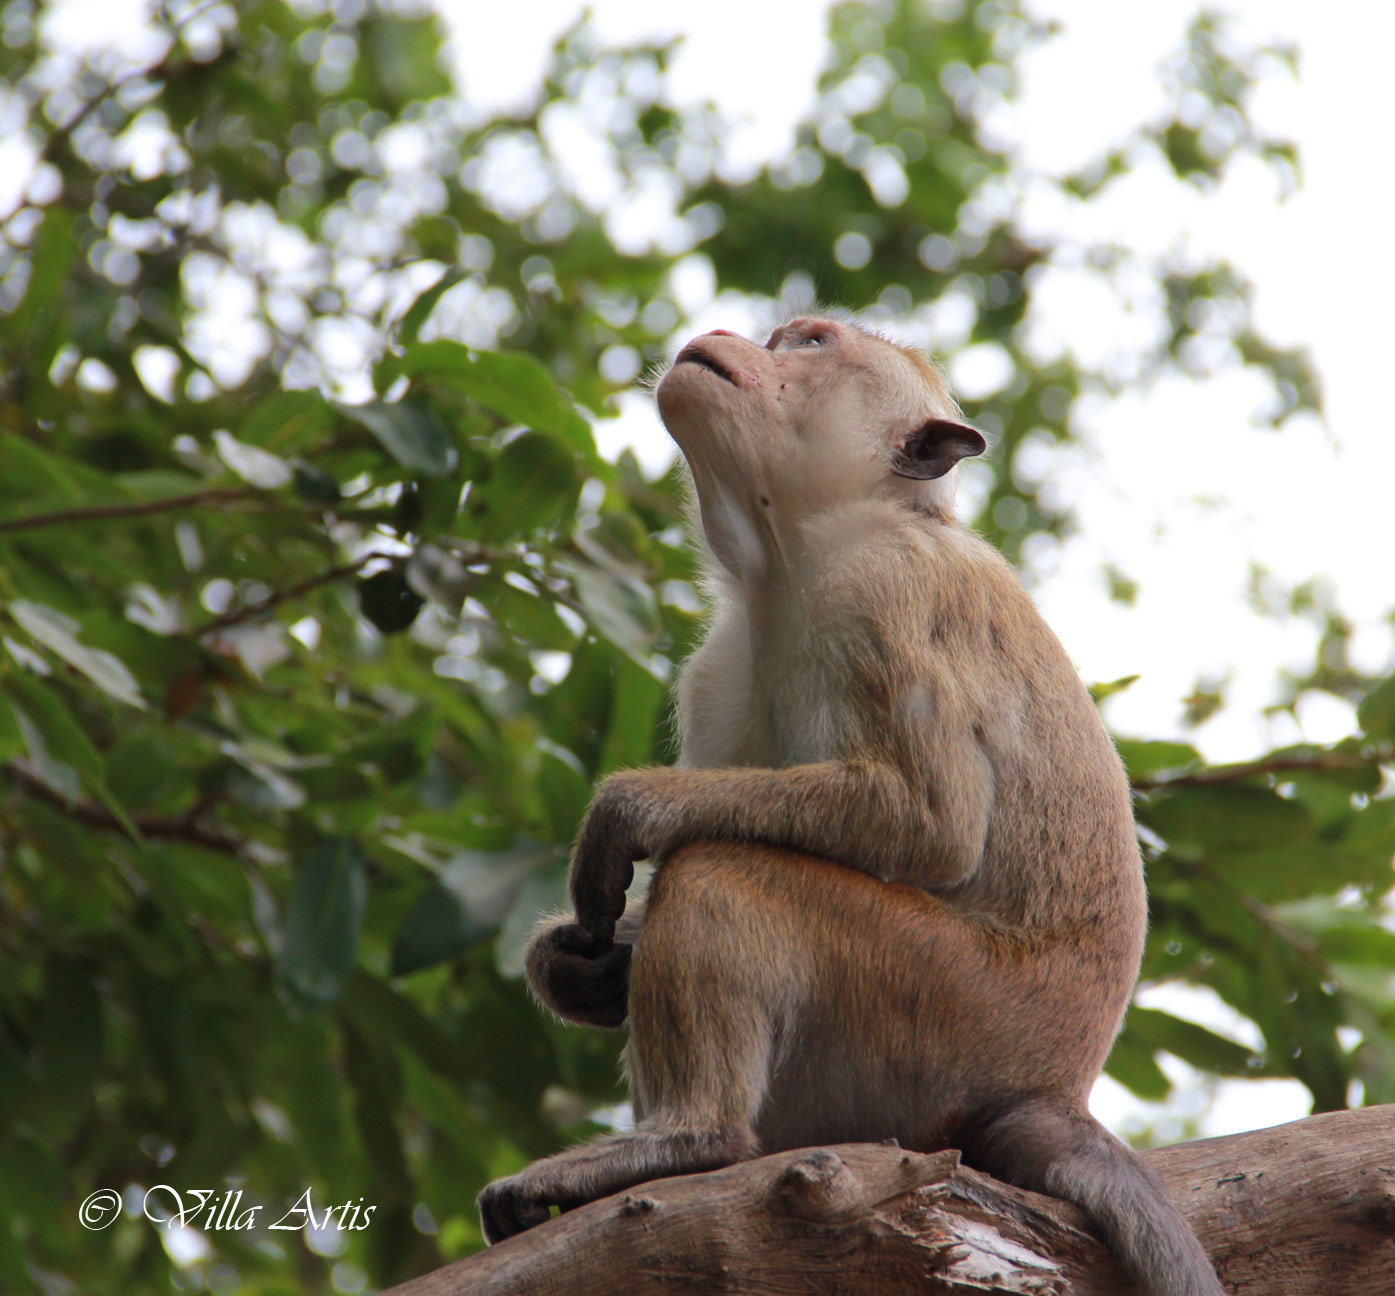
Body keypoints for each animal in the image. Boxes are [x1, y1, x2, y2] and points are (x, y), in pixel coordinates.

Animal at [478, 317, 1224, 1296]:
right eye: (781, 335)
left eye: (808, 343)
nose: (728, 333)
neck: (792, 558)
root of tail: (1052, 1090)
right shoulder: (718, 668)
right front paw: (572, 964)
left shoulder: (883, 594)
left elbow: (929, 823)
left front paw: (626, 811)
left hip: (942, 1010)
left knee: (727, 873)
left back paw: (687, 1143)